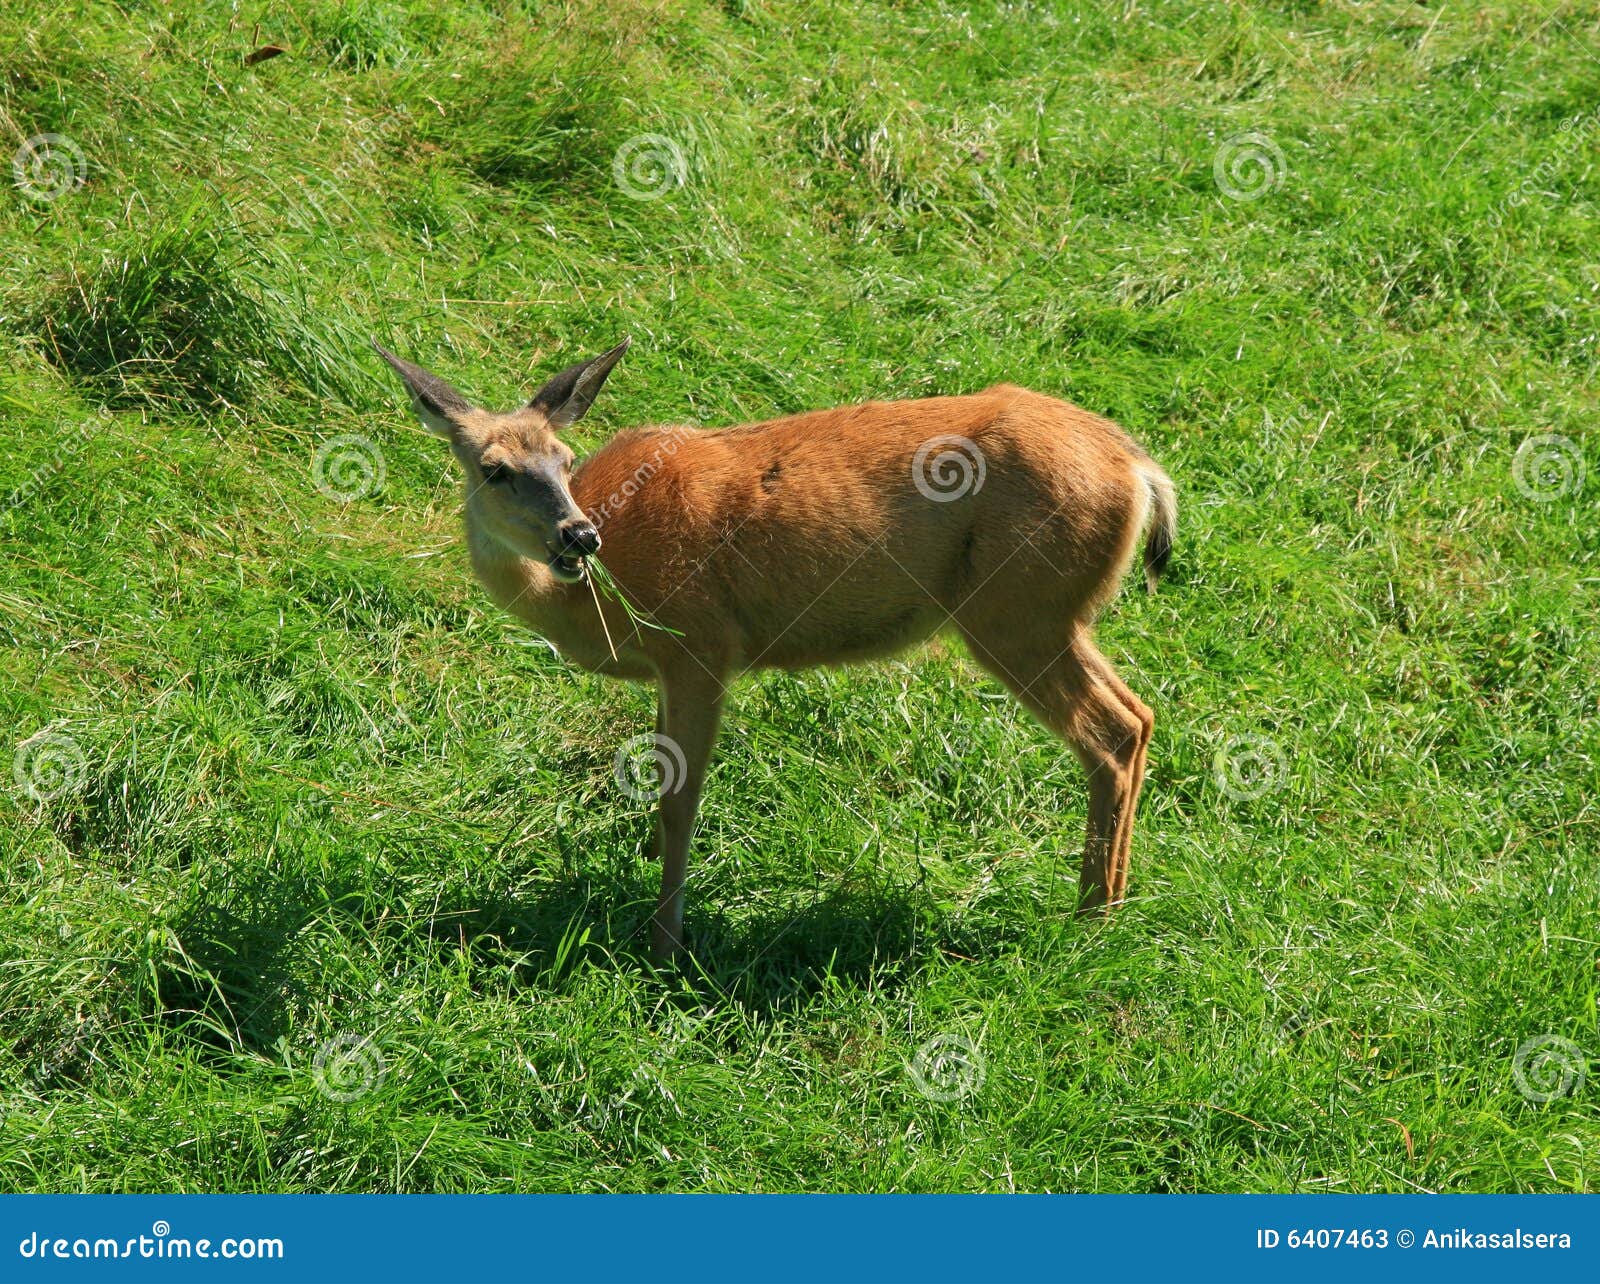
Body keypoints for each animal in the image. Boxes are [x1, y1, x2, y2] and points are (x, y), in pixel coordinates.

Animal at [374, 338, 1175, 962]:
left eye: (565, 459)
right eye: (494, 468)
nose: (578, 536)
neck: (598, 597)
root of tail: (1139, 469)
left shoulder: (700, 645)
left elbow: (681, 798)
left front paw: (665, 946)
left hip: (1015, 611)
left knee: (1107, 733)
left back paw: (1090, 919)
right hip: (1052, 617)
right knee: (1138, 715)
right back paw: (1112, 904)